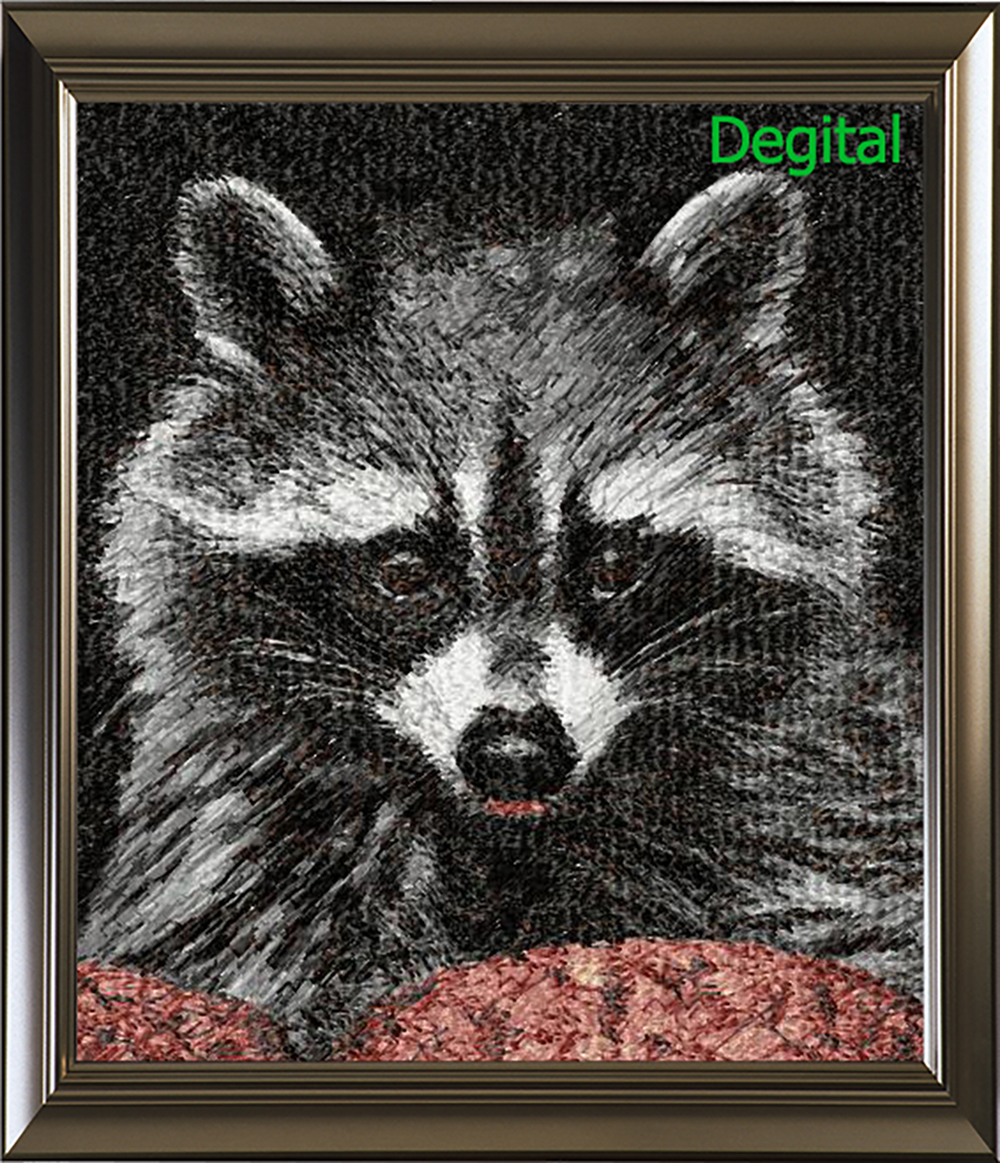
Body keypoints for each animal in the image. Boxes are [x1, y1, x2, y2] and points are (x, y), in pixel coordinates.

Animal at [79, 170, 922, 1059]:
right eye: (404, 571)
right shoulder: (249, 823)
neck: (505, 833)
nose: (516, 753)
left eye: (613, 566)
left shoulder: (821, 795)